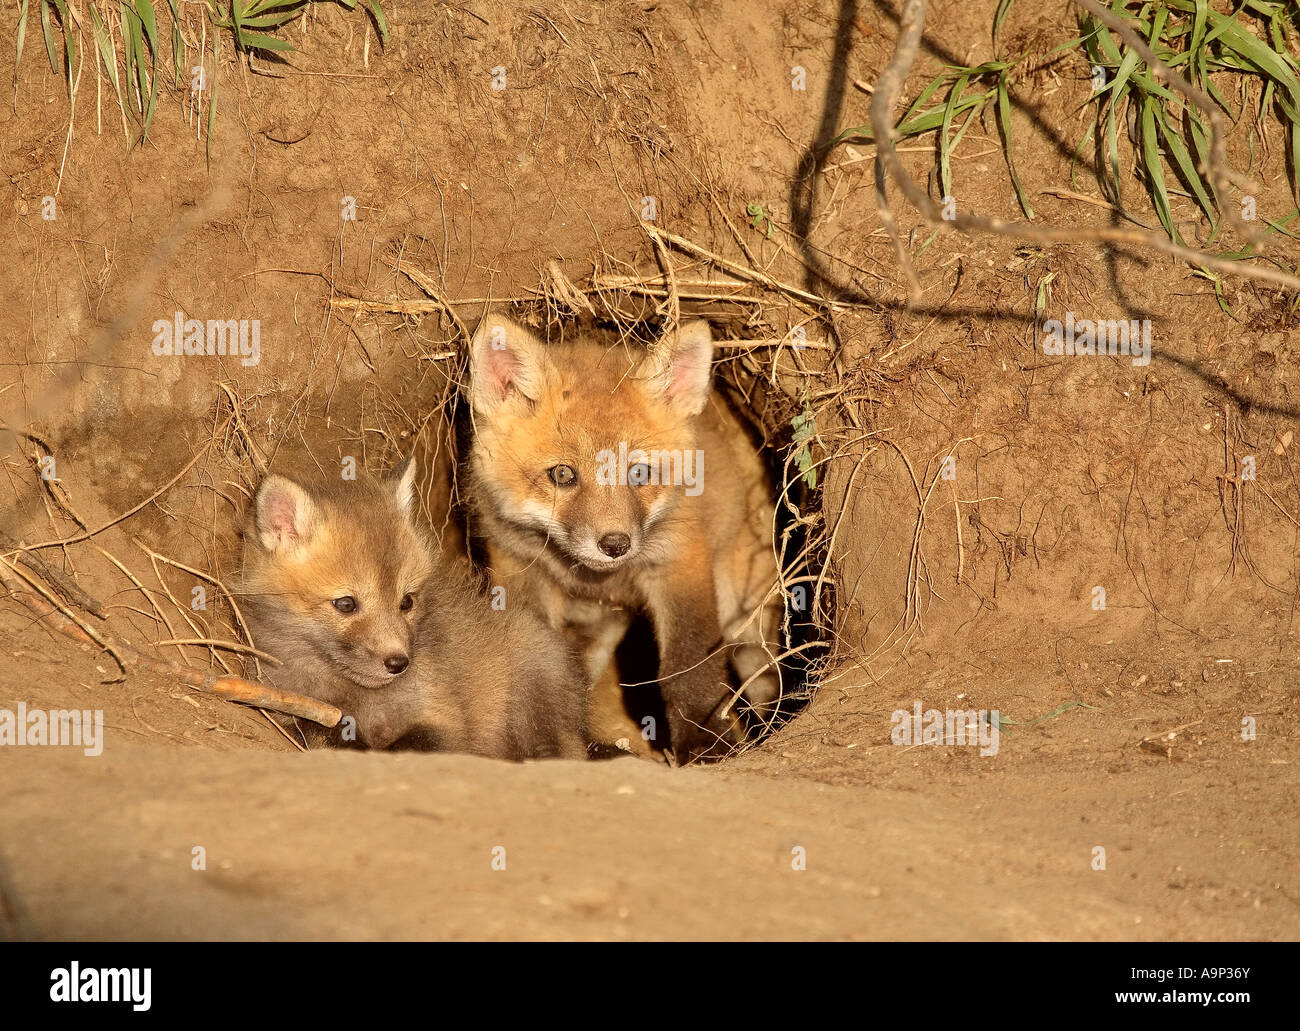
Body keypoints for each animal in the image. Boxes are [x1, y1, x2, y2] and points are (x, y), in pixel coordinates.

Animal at [238, 461, 588, 760]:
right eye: (346, 604)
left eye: (406, 601)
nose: (398, 663)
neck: (354, 695)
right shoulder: (286, 704)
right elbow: (317, 730)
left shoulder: (441, 717)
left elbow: (407, 747)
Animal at [467, 314, 784, 763]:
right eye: (562, 474)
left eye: (639, 473)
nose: (615, 544)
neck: (595, 577)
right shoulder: (518, 568)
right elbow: (538, 665)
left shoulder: (679, 562)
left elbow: (688, 668)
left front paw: (705, 745)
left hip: (746, 613)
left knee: (766, 672)